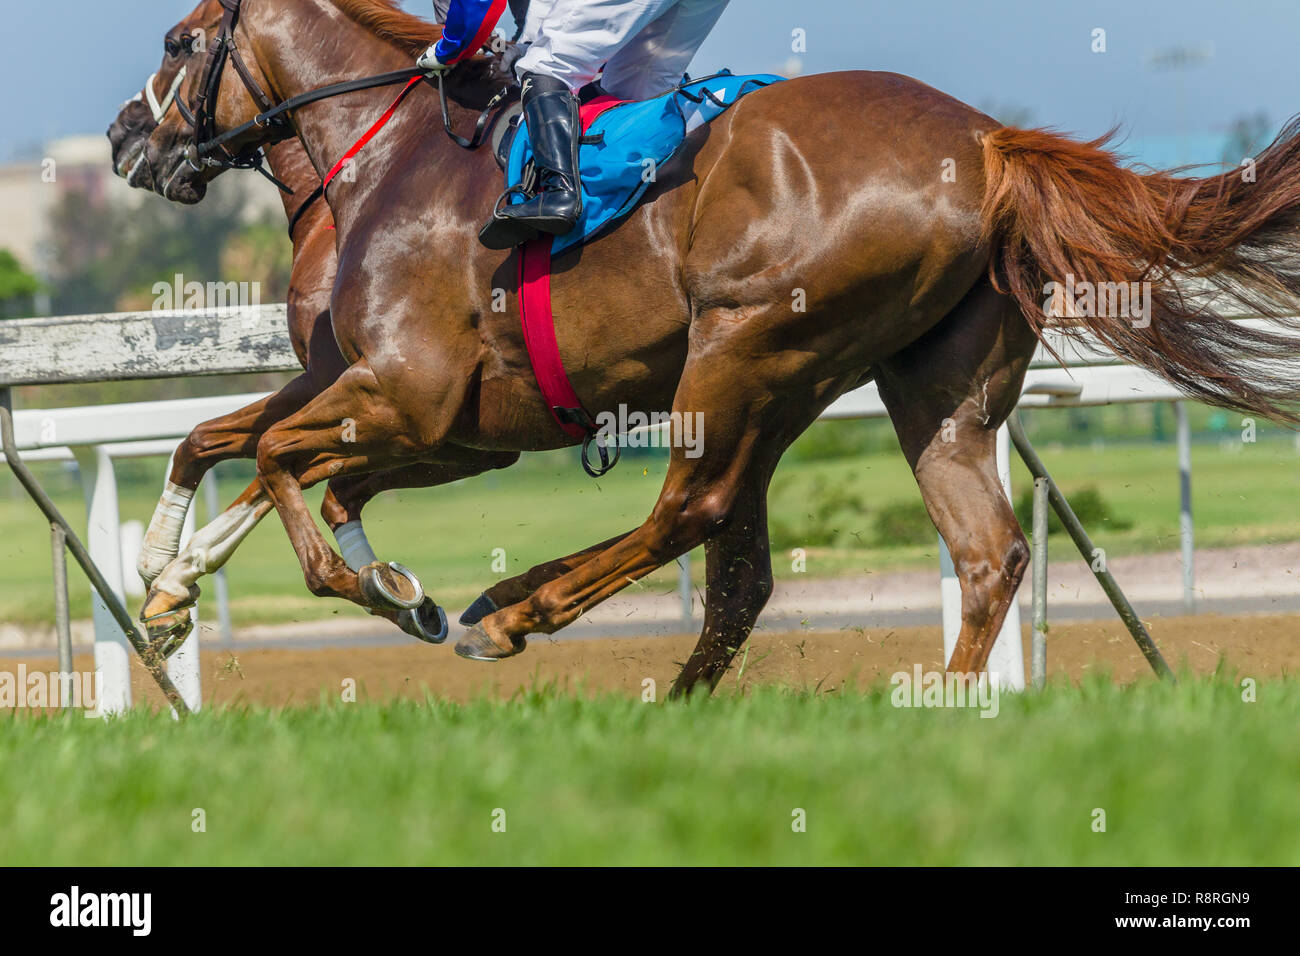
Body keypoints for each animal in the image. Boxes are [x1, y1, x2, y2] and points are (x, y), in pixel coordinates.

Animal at [124, 0, 1300, 694]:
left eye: (180, 42)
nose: (126, 139)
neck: (392, 159)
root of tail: (984, 140)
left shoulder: (414, 403)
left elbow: (277, 460)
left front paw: (381, 592)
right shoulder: (423, 420)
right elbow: (224, 440)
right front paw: (169, 583)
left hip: (745, 351)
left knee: (692, 511)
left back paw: (515, 612)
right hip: (905, 384)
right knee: (956, 551)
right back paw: (915, 705)